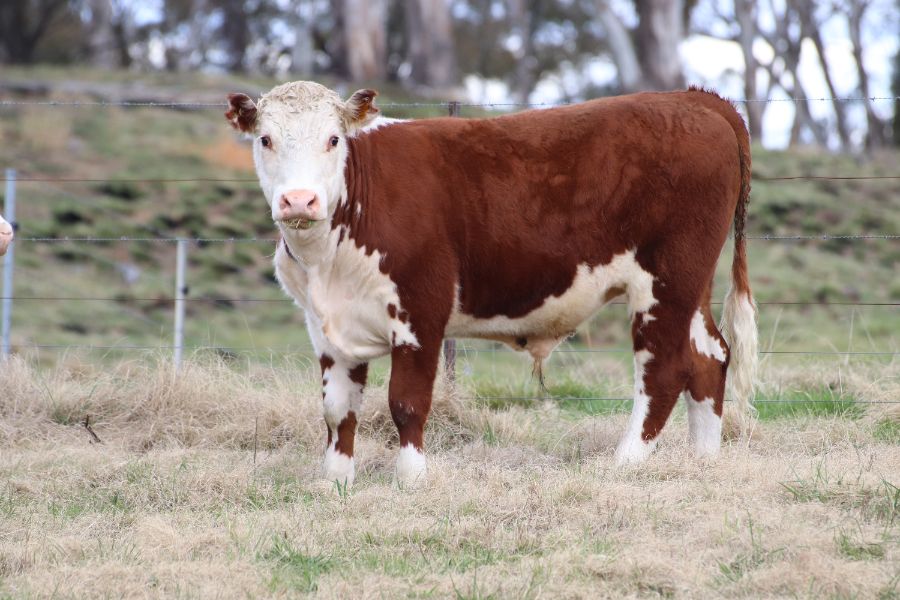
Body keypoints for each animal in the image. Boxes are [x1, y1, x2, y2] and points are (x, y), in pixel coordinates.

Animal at [225, 82, 758, 489]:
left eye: (334, 139)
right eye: (266, 139)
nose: (299, 200)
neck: (329, 260)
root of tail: (695, 99)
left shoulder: (421, 309)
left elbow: (407, 401)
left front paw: (411, 479)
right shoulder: (326, 326)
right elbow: (338, 410)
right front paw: (335, 482)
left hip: (666, 279)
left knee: (664, 368)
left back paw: (625, 461)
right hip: (691, 283)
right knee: (710, 355)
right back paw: (702, 460)